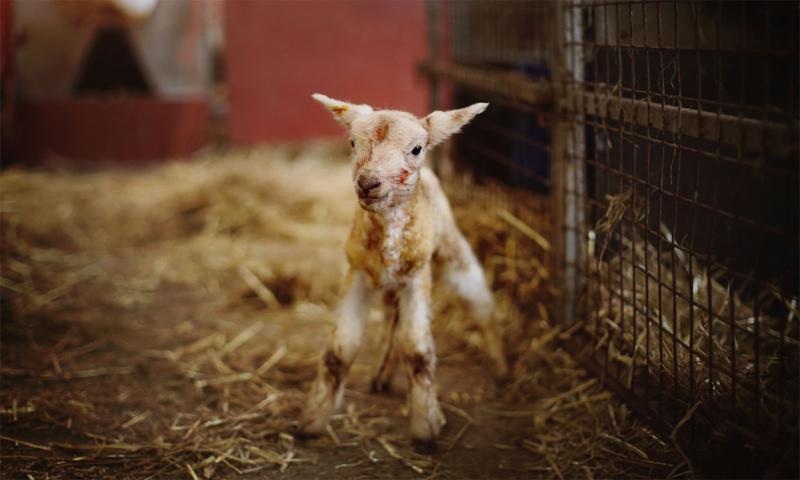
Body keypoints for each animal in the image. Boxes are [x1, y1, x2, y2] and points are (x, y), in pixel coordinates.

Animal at [299, 93, 507, 447]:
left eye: (416, 148)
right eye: (352, 142)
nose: (368, 183)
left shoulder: (416, 278)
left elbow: (417, 350)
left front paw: (427, 425)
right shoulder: (357, 273)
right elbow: (341, 349)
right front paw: (312, 421)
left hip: (452, 250)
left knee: (480, 304)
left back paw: (502, 366)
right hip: (388, 286)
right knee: (391, 323)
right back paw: (382, 376)